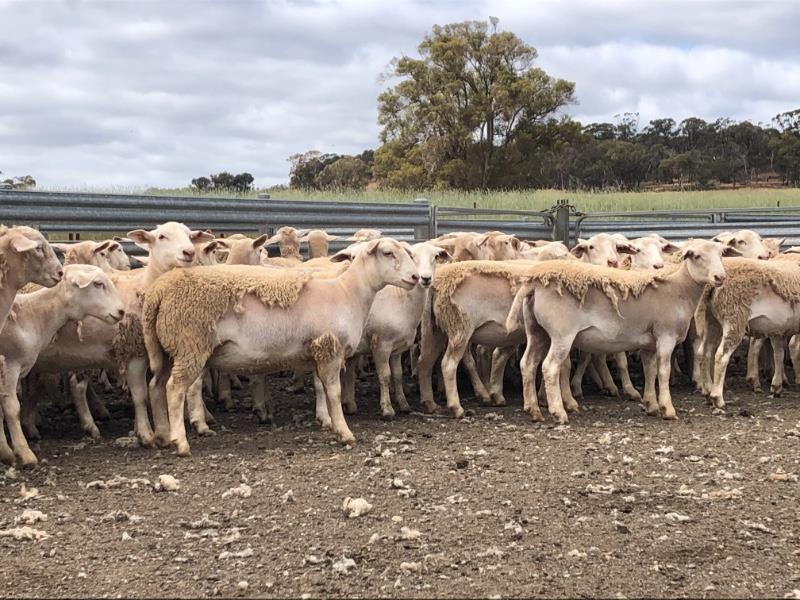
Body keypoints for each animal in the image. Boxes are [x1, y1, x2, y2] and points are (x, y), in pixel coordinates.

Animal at [0, 264, 124, 466]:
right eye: (98, 284)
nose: (121, 311)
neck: (32, 314)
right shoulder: (10, 365)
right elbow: (11, 408)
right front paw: (22, 453)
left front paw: (5, 452)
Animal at [142, 237, 420, 456]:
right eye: (388, 253)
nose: (416, 277)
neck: (347, 292)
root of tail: (159, 291)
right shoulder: (330, 349)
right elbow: (334, 392)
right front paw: (344, 432)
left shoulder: (316, 351)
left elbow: (322, 390)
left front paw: (328, 421)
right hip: (190, 343)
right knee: (175, 389)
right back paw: (181, 442)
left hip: (169, 350)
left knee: (155, 386)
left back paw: (163, 436)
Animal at [507, 239, 732, 424]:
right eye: (696, 255)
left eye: (721, 254)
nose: (720, 277)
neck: (679, 290)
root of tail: (534, 282)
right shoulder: (665, 336)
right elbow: (663, 372)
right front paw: (667, 409)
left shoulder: (649, 343)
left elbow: (650, 371)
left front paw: (651, 405)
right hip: (562, 333)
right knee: (550, 367)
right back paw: (558, 412)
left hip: (537, 332)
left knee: (527, 363)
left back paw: (533, 410)